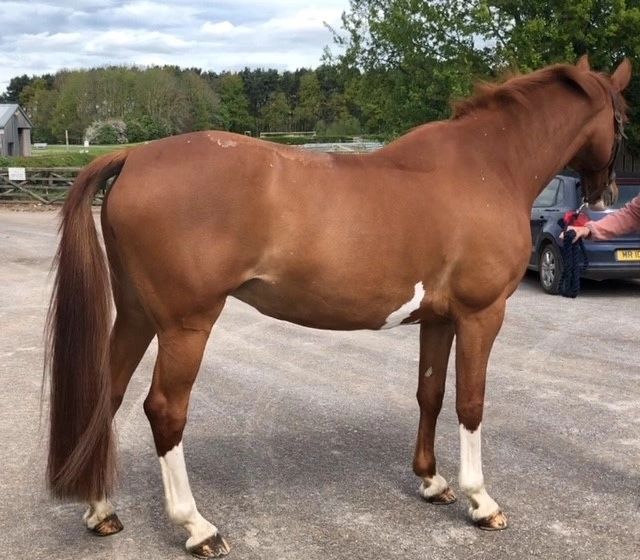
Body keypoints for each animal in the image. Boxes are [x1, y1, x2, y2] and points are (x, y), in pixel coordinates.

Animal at [46, 56, 630, 557]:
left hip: (136, 316)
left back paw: (101, 511)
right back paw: (197, 527)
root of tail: (134, 155)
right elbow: (471, 403)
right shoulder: (480, 315)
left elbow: (431, 393)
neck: (487, 167)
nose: (605, 196)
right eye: (623, 121)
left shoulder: (440, 320)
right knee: (164, 410)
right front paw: (480, 501)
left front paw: (432, 481)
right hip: (185, 325)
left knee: (108, 394)